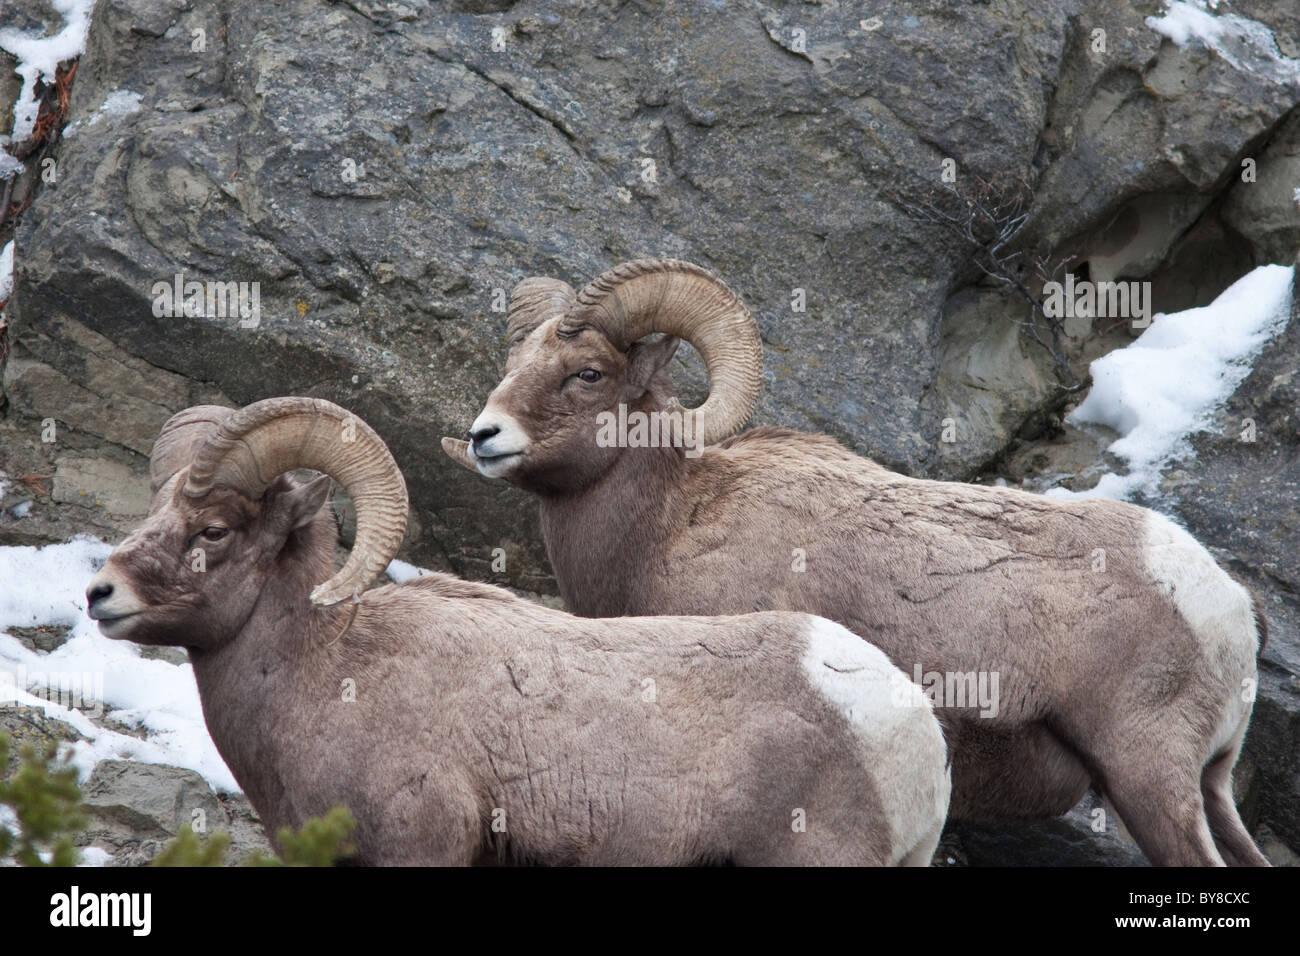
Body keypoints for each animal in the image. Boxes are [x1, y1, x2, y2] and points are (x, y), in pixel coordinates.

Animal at [442, 257, 1270, 867]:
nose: (487, 435)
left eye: (588, 372)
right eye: (516, 359)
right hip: (1208, 787)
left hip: (1149, 780)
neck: (669, 524)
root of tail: (1225, 609)